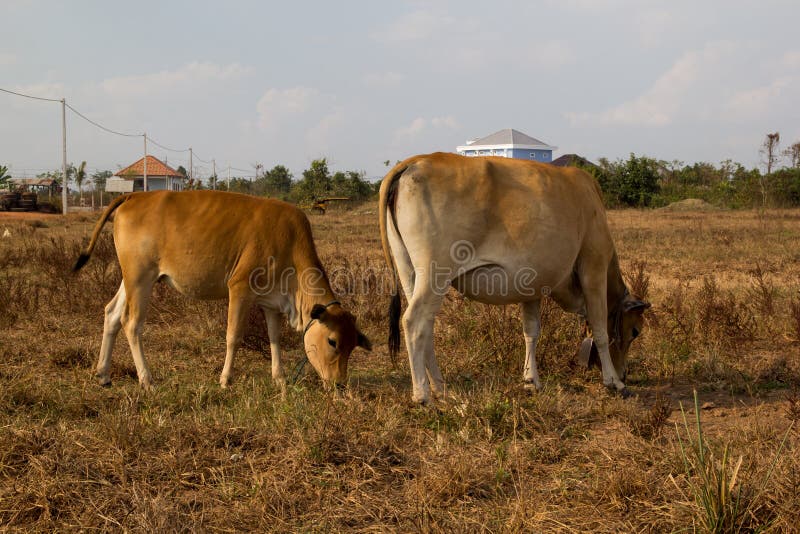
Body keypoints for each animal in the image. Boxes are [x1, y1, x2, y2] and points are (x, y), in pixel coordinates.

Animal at [73, 190, 371, 392]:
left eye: (352, 346)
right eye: (332, 342)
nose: (339, 384)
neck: (291, 244)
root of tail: (134, 196)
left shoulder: (271, 302)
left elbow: (274, 339)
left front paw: (280, 379)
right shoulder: (239, 288)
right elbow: (234, 336)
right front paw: (226, 379)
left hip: (132, 279)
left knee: (111, 314)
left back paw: (103, 374)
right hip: (140, 278)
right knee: (131, 323)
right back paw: (147, 380)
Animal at [379, 153, 650, 405]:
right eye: (635, 331)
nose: (625, 374)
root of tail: (416, 161)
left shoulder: (533, 286)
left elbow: (531, 332)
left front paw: (531, 380)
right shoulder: (593, 267)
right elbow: (601, 329)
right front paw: (614, 382)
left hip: (410, 272)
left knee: (427, 328)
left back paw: (440, 388)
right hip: (435, 274)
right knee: (414, 322)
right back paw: (422, 394)